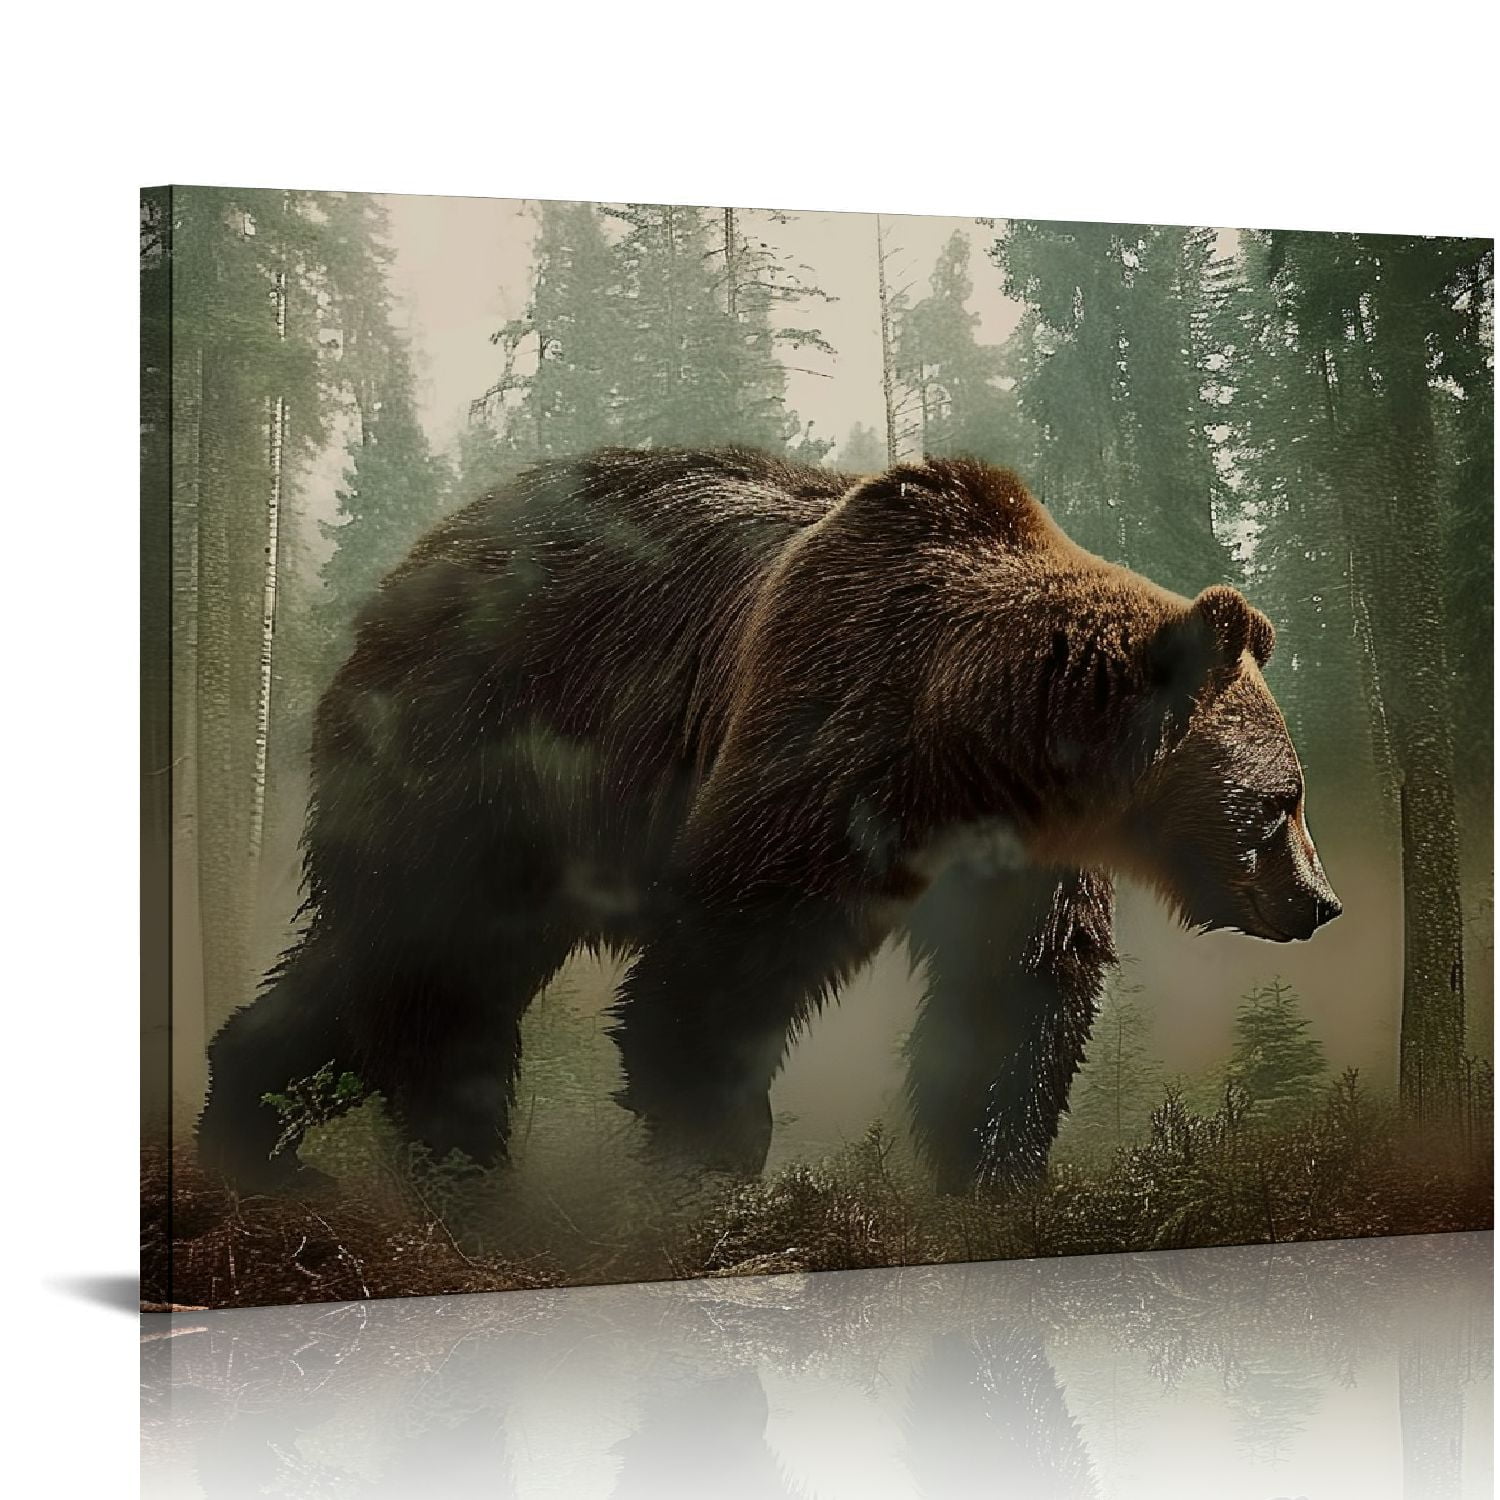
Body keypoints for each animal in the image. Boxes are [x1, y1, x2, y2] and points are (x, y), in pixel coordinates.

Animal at [197, 447, 1341, 1195]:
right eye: (1283, 798)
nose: (1322, 901)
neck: (977, 749)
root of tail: (408, 565)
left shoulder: (1015, 863)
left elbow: (1017, 998)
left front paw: (994, 1169)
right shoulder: (828, 740)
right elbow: (725, 951)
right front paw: (712, 1147)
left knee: (383, 963)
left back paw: (253, 1125)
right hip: (480, 748)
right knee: (420, 958)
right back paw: (451, 1155)